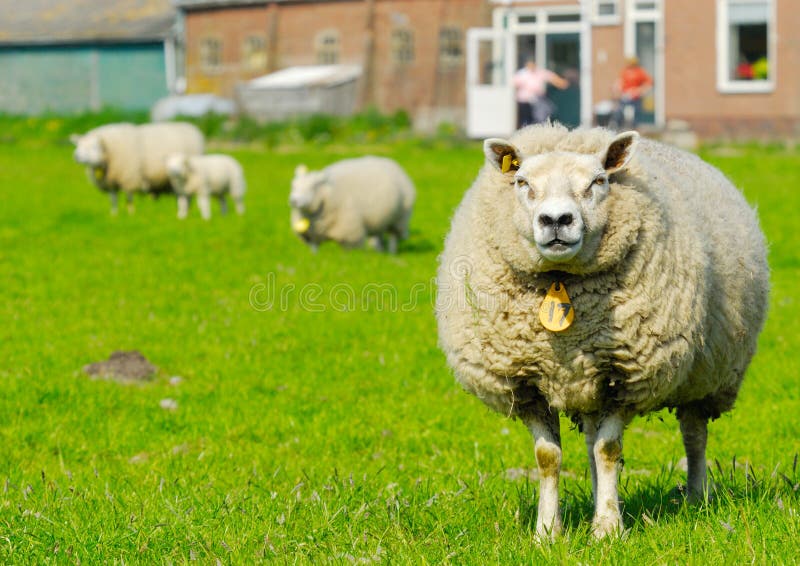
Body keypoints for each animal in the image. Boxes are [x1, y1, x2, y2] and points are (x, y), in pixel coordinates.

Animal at [71, 122, 204, 214]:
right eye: (79, 145)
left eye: (93, 146)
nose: (76, 156)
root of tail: (192, 129)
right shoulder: (110, 182)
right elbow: (113, 200)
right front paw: (114, 215)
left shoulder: (129, 177)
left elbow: (129, 199)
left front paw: (131, 213)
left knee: (185, 197)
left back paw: (184, 213)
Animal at [435, 123, 769, 540]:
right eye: (522, 182)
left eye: (598, 181)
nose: (556, 220)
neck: (561, 282)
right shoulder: (526, 384)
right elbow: (548, 457)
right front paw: (548, 532)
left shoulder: (626, 376)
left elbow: (609, 450)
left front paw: (608, 529)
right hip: (591, 383)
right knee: (592, 444)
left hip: (707, 375)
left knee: (693, 435)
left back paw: (696, 498)